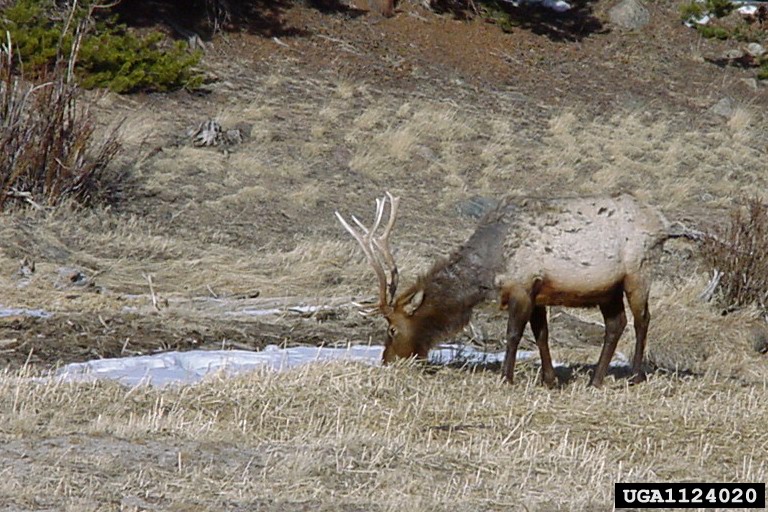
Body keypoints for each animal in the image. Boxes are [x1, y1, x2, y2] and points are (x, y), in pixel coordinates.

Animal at [336, 192, 676, 388]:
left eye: (392, 329)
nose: (386, 361)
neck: (489, 269)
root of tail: (662, 223)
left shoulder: (522, 286)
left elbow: (513, 334)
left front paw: (506, 377)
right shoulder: (539, 293)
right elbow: (541, 335)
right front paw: (549, 380)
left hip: (638, 272)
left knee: (642, 319)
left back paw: (636, 375)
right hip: (607, 288)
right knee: (616, 324)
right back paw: (595, 379)